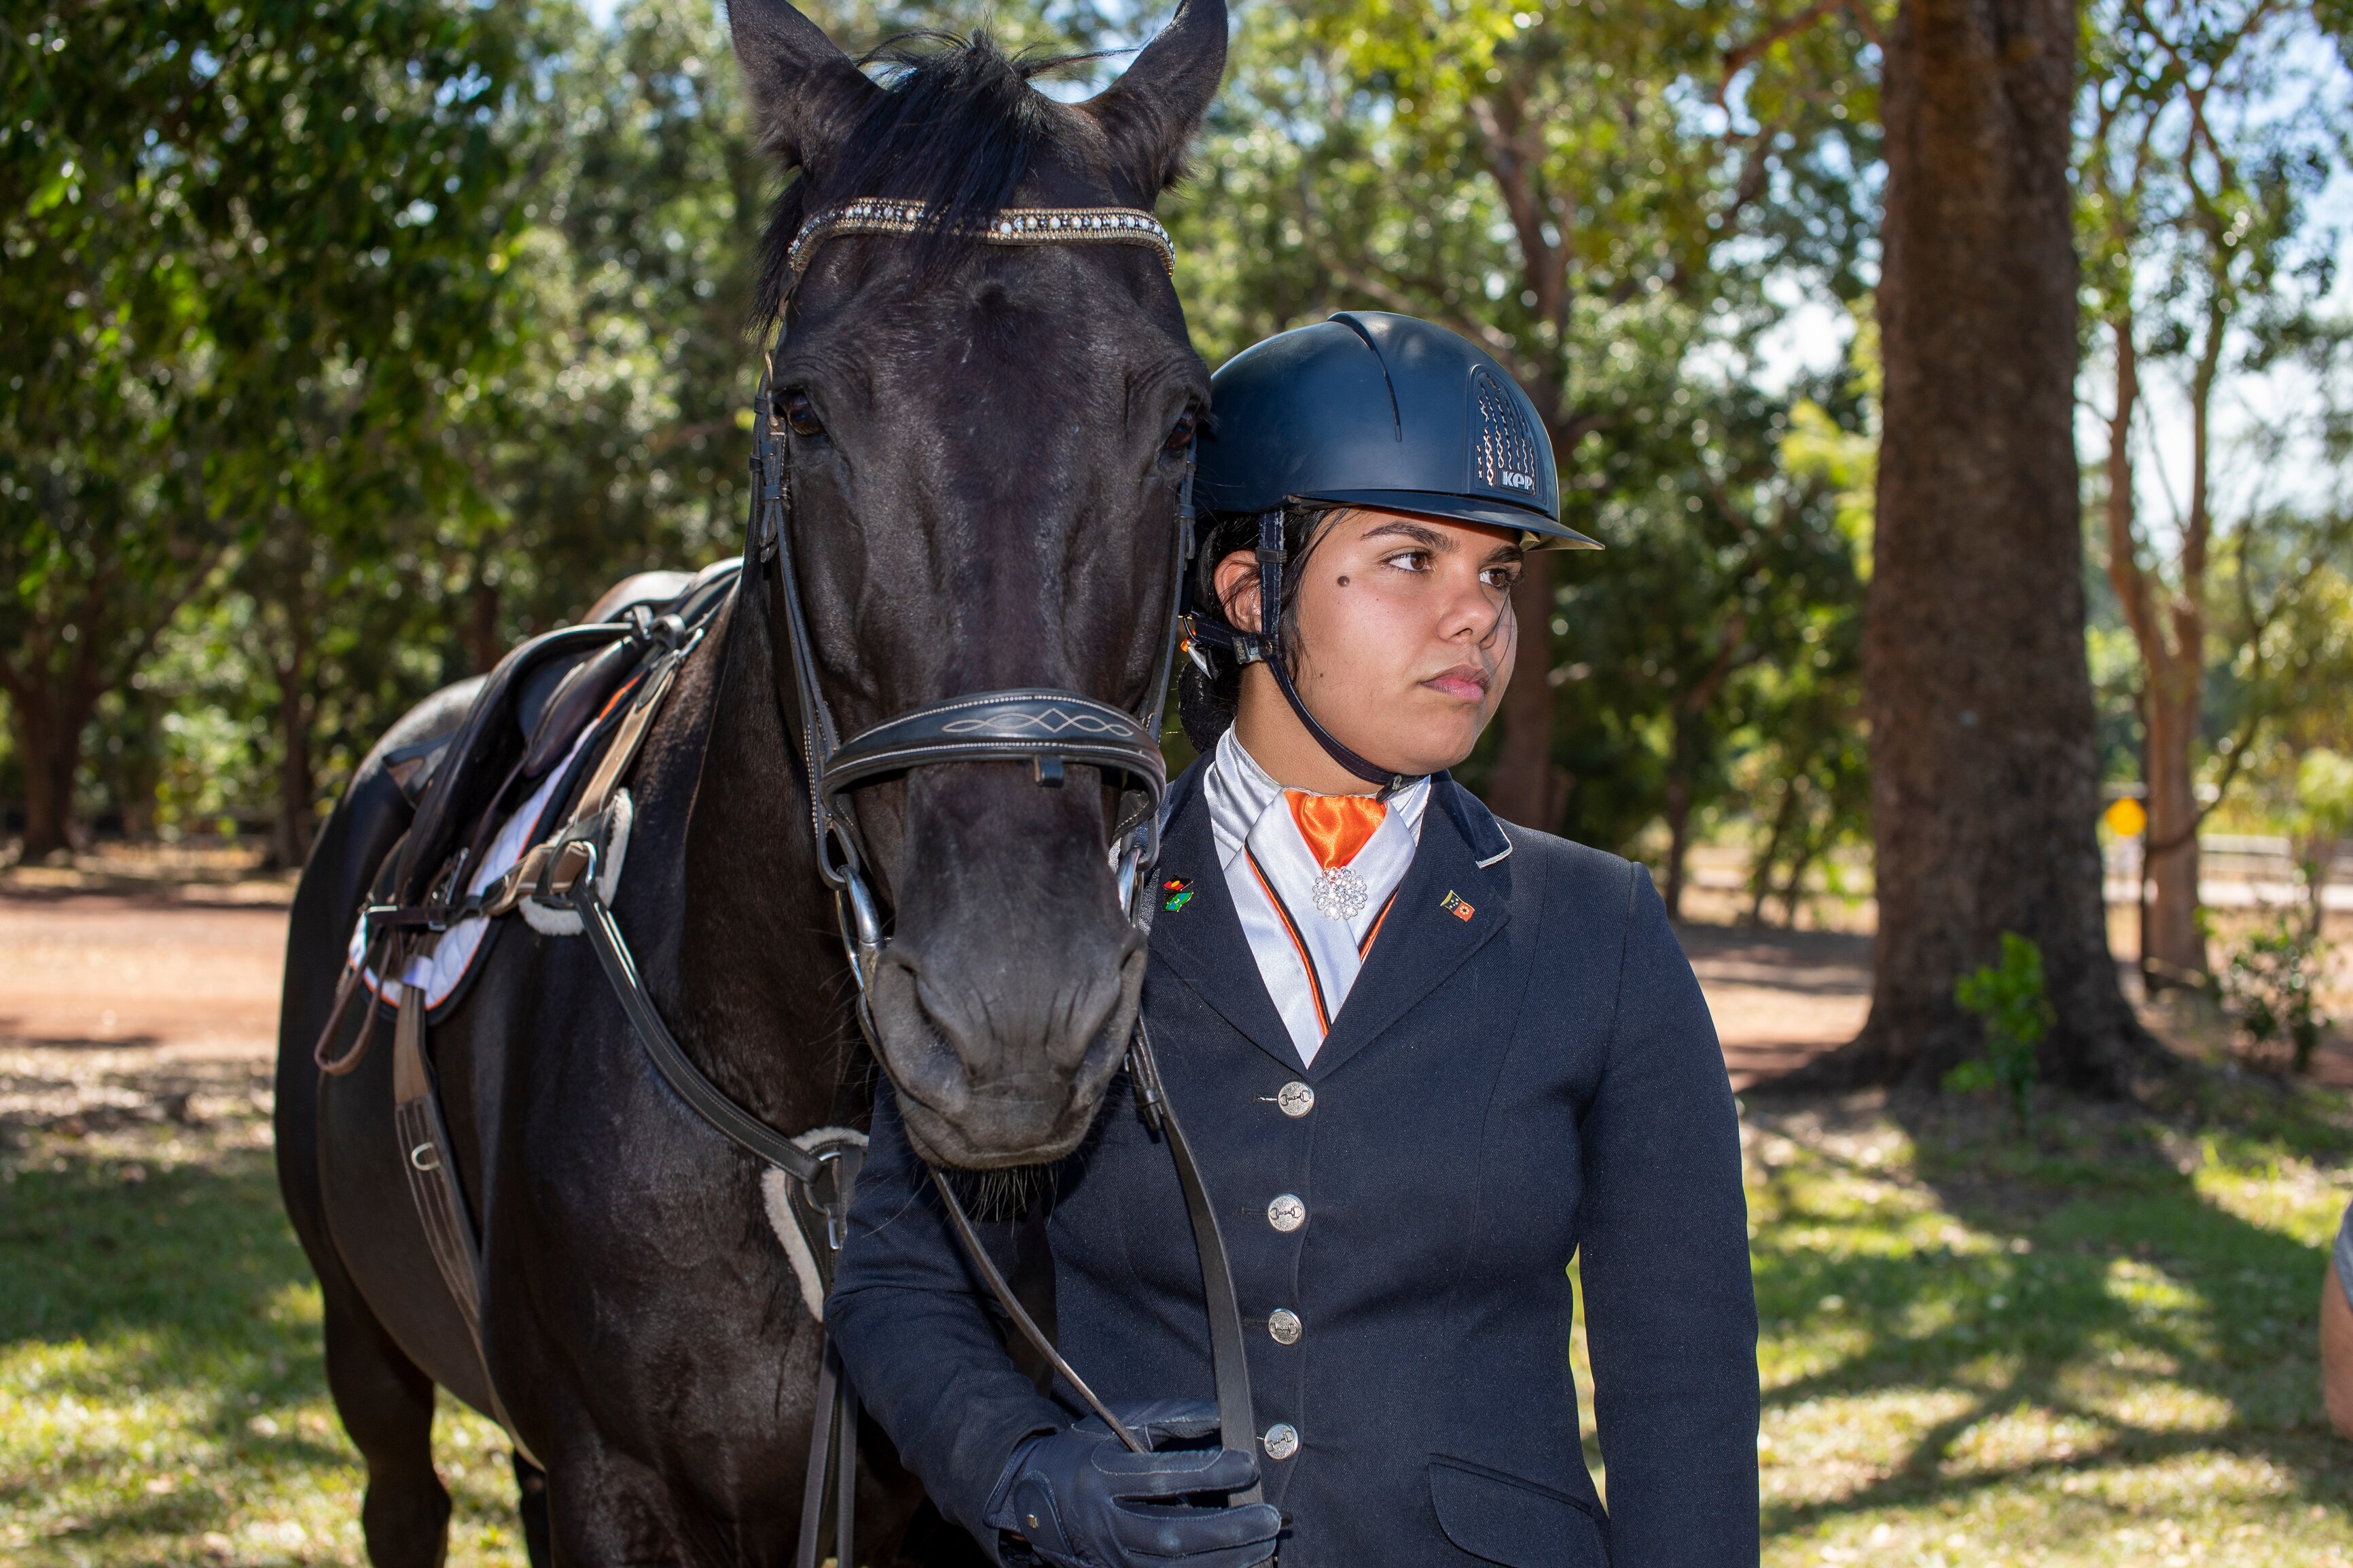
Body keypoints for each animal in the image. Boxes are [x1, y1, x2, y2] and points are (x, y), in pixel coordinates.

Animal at [272, 1, 1226, 1559]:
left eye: (1185, 423)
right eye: (803, 407)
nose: (1013, 1018)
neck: (810, 1127)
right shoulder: (607, 1483)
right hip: (369, 1350)